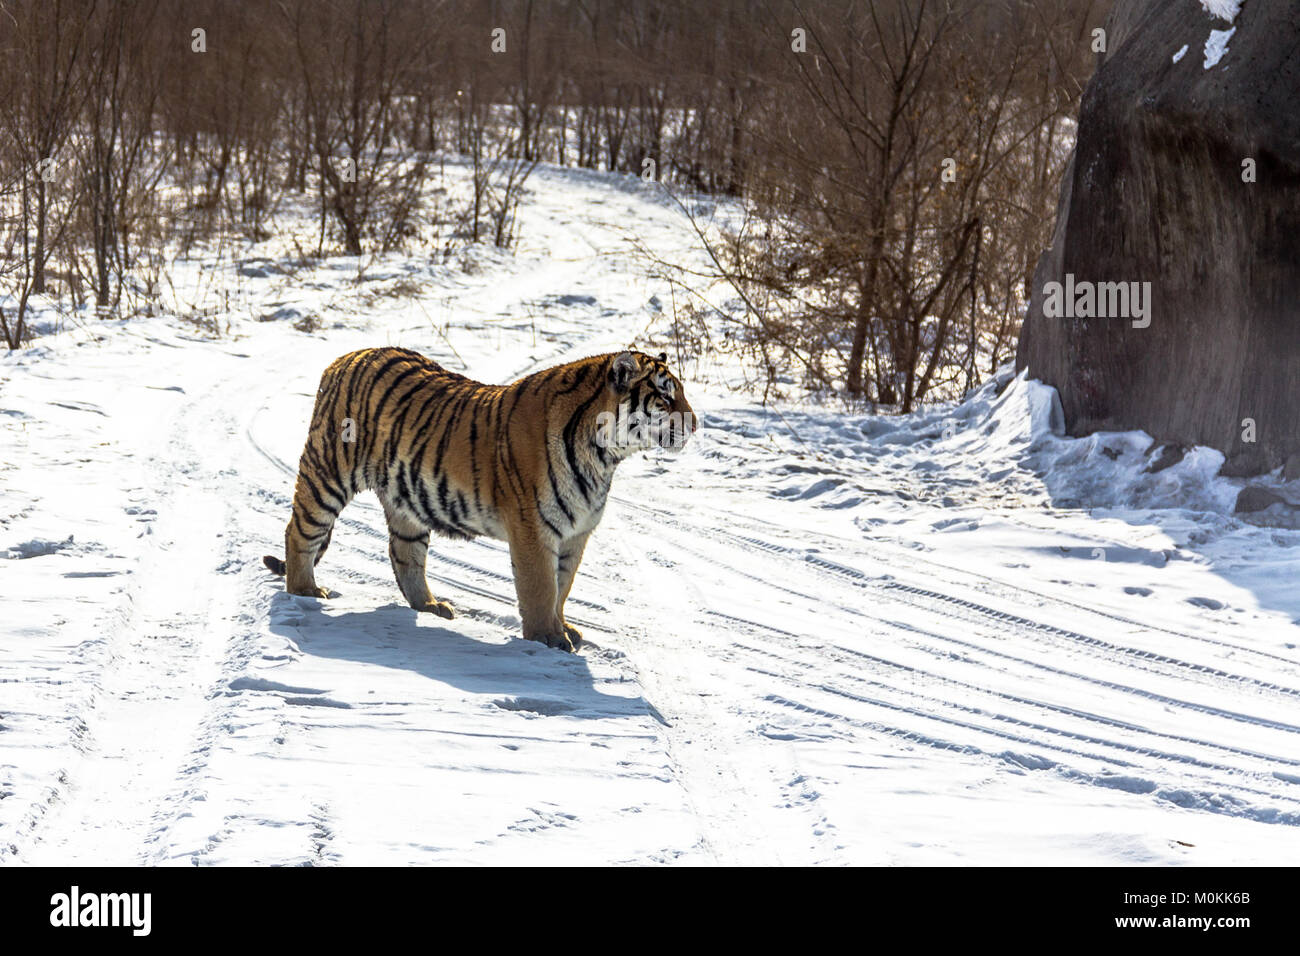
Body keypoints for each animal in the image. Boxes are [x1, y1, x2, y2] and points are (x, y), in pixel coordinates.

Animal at [263, 347, 697, 652]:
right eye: (665, 396)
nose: (694, 424)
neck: (604, 456)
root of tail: (344, 359)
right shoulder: (533, 528)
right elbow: (541, 587)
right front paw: (548, 639)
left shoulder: (576, 533)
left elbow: (563, 586)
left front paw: (563, 628)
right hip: (328, 473)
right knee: (298, 531)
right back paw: (305, 591)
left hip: (407, 503)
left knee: (404, 556)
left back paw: (430, 607)